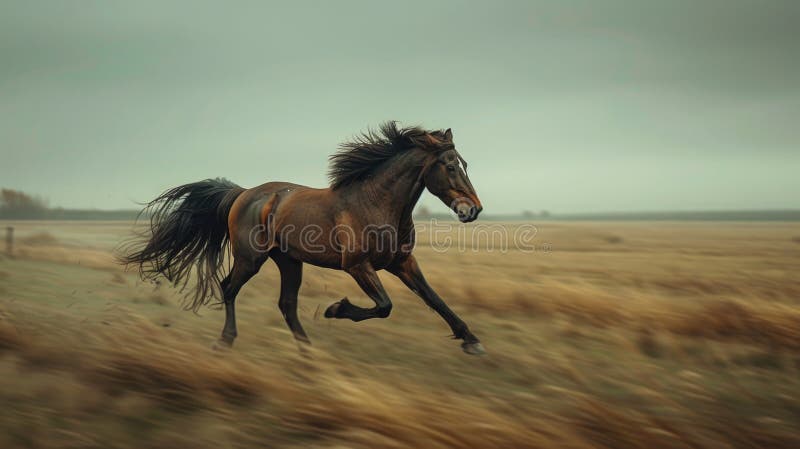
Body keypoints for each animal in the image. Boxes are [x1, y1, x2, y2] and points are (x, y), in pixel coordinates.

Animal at [120, 122, 485, 354]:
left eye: (465, 164)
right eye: (450, 166)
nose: (474, 210)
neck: (375, 204)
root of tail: (242, 194)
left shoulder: (403, 262)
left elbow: (434, 299)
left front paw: (471, 340)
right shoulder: (358, 266)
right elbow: (384, 306)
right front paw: (336, 309)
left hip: (289, 261)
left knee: (286, 303)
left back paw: (308, 351)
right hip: (251, 258)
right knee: (228, 288)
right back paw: (225, 342)